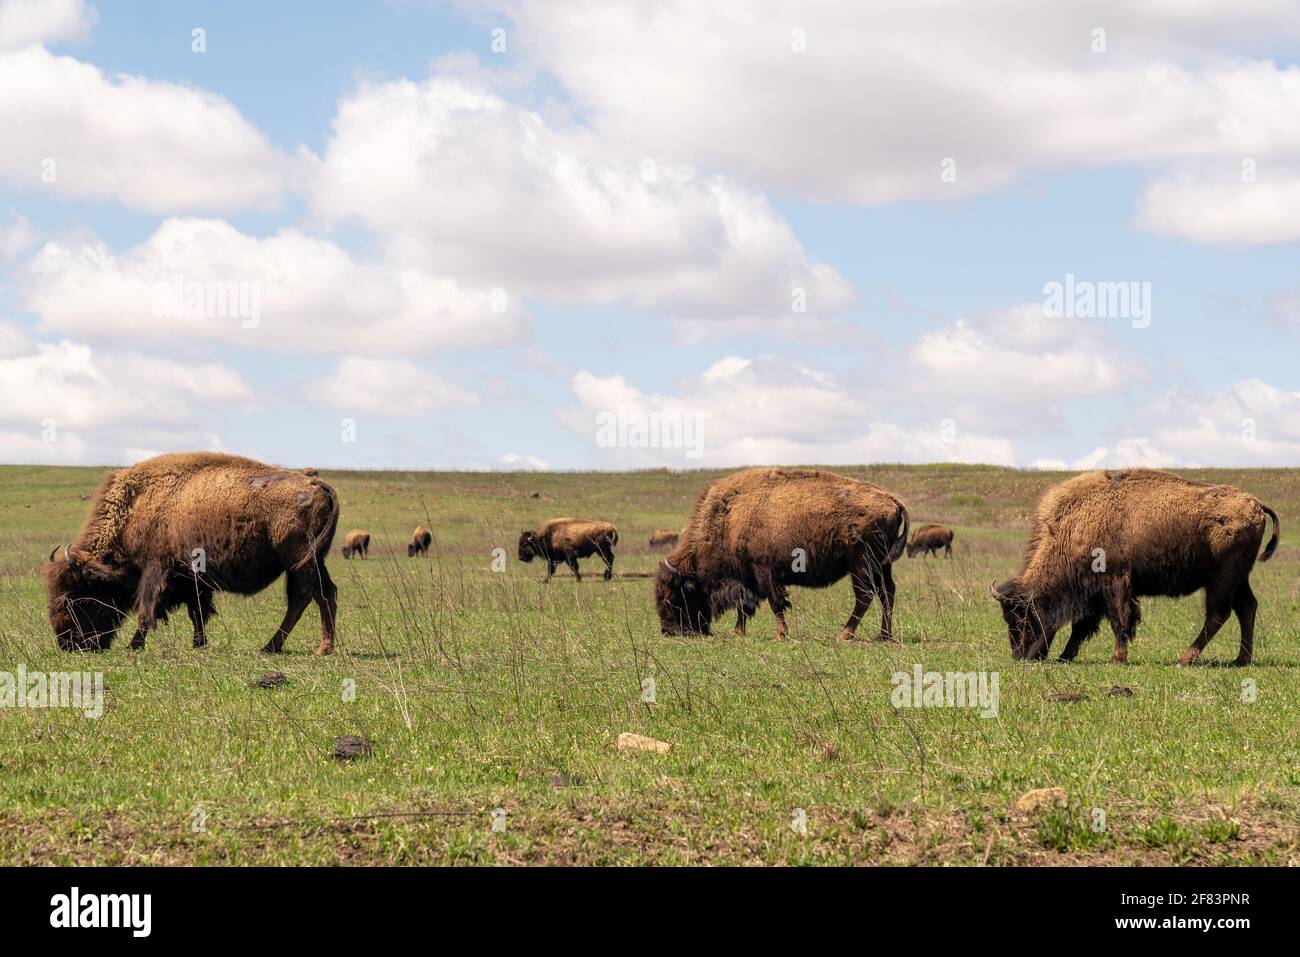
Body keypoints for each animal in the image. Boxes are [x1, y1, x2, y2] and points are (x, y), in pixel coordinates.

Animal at [44, 452, 340, 655]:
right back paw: (297, 647)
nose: (67, 643)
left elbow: (147, 608)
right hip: (313, 560)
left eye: (74, 599)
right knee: (324, 593)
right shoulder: (191, 579)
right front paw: (199, 644)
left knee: (306, 596)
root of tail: (316, 484)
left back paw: (302, 647)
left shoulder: (156, 569)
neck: (138, 505)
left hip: (300, 561)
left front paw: (135, 645)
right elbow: (197, 612)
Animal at [654, 468, 909, 640]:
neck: (729, 517)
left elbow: (775, 602)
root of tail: (893, 501)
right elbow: (744, 605)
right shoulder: (747, 577)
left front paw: (781, 634)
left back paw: (844, 634)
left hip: (862, 565)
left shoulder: (764, 572)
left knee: (865, 596)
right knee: (887, 593)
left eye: (674, 597)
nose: (668, 631)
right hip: (882, 565)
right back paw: (883, 636)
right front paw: (737, 631)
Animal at [993, 469, 1279, 666]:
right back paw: (1240, 659)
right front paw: (1066, 656)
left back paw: (1185, 659)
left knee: (1218, 614)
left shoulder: (1115, 583)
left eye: (1022, 616)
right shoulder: (1095, 593)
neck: (1075, 527)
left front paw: (1116, 658)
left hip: (1222, 579)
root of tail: (1255, 503)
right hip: (1239, 578)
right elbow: (1083, 626)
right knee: (1246, 608)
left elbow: (1118, 619)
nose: (1021, 655)